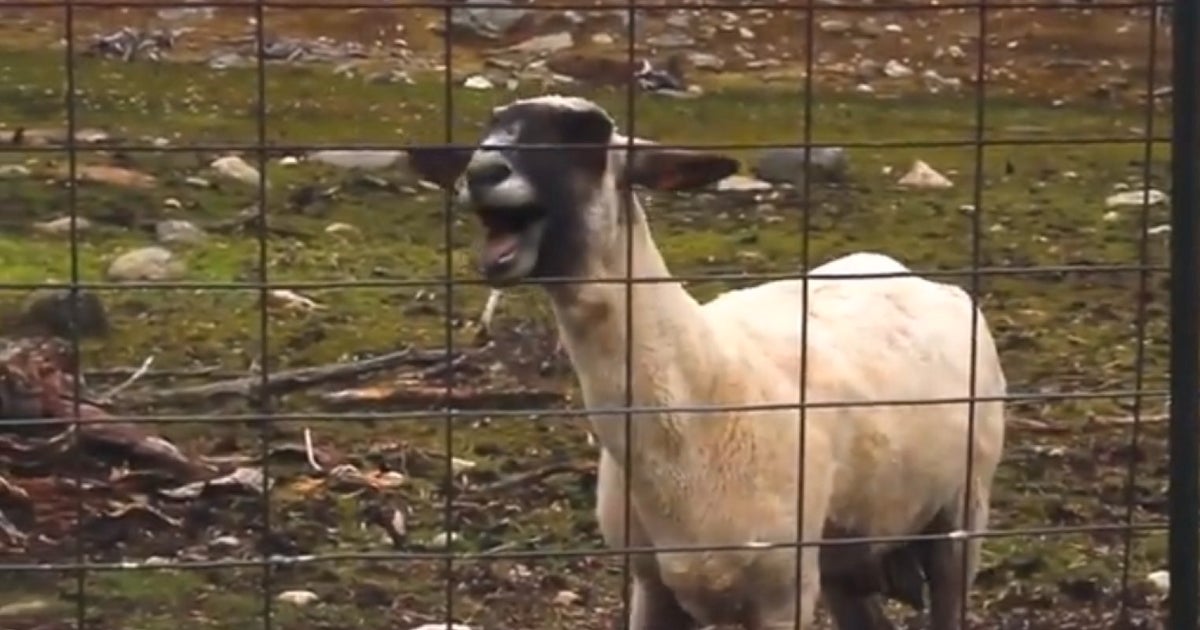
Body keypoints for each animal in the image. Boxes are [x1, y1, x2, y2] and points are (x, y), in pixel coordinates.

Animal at [402, 94, 1007, 630]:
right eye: (490, 127)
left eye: (588, 135)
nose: (483, 170)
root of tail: (910, 273)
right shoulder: (652, 586)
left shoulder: (783, 595)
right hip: (846, 548)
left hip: (963, 512)